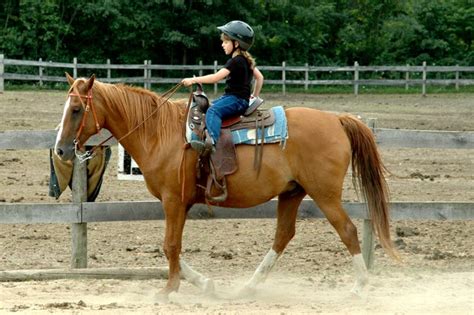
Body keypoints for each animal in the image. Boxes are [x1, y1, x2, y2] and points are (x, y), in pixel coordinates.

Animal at [54, 73, 396, 302]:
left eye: (77, 110)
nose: (60, 149)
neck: (159, 133)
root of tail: (337, 120)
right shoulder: (178, 203)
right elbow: (172, 248)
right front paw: (203, 283)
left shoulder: (173, 200)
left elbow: (170, 245)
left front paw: (169, 289)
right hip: (292, 192)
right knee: (283, 236)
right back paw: (249, 286)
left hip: (325, 194)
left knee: (347, 230)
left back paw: (359, 287)